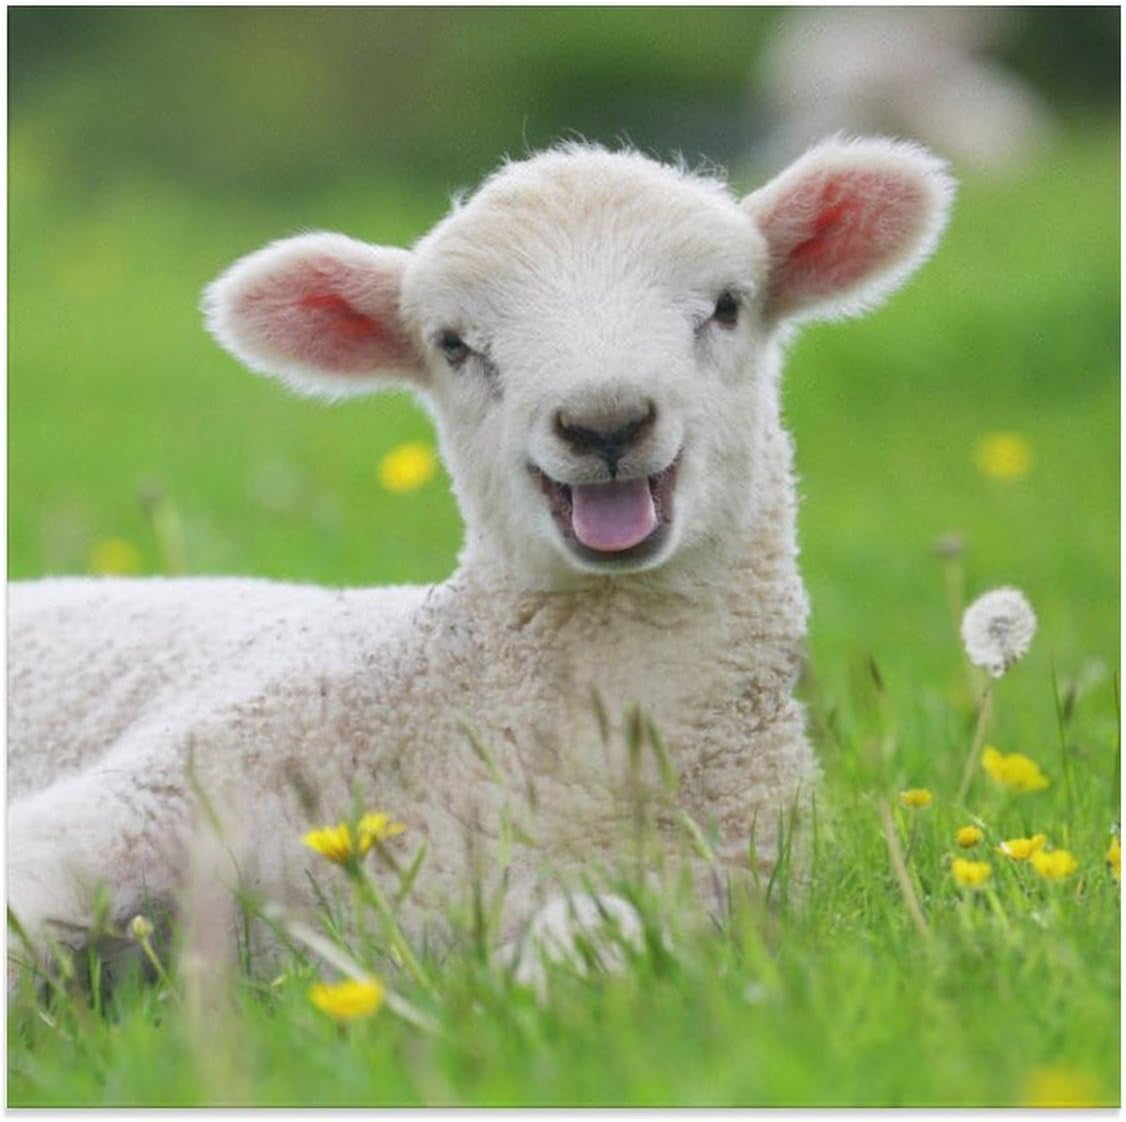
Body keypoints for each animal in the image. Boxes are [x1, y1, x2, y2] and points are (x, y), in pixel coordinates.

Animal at [7, 137, 954, 984]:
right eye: (454, 344)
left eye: (726, 305)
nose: (605, 422)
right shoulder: (157, 790)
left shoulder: (719, 888)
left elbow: (599, 943)